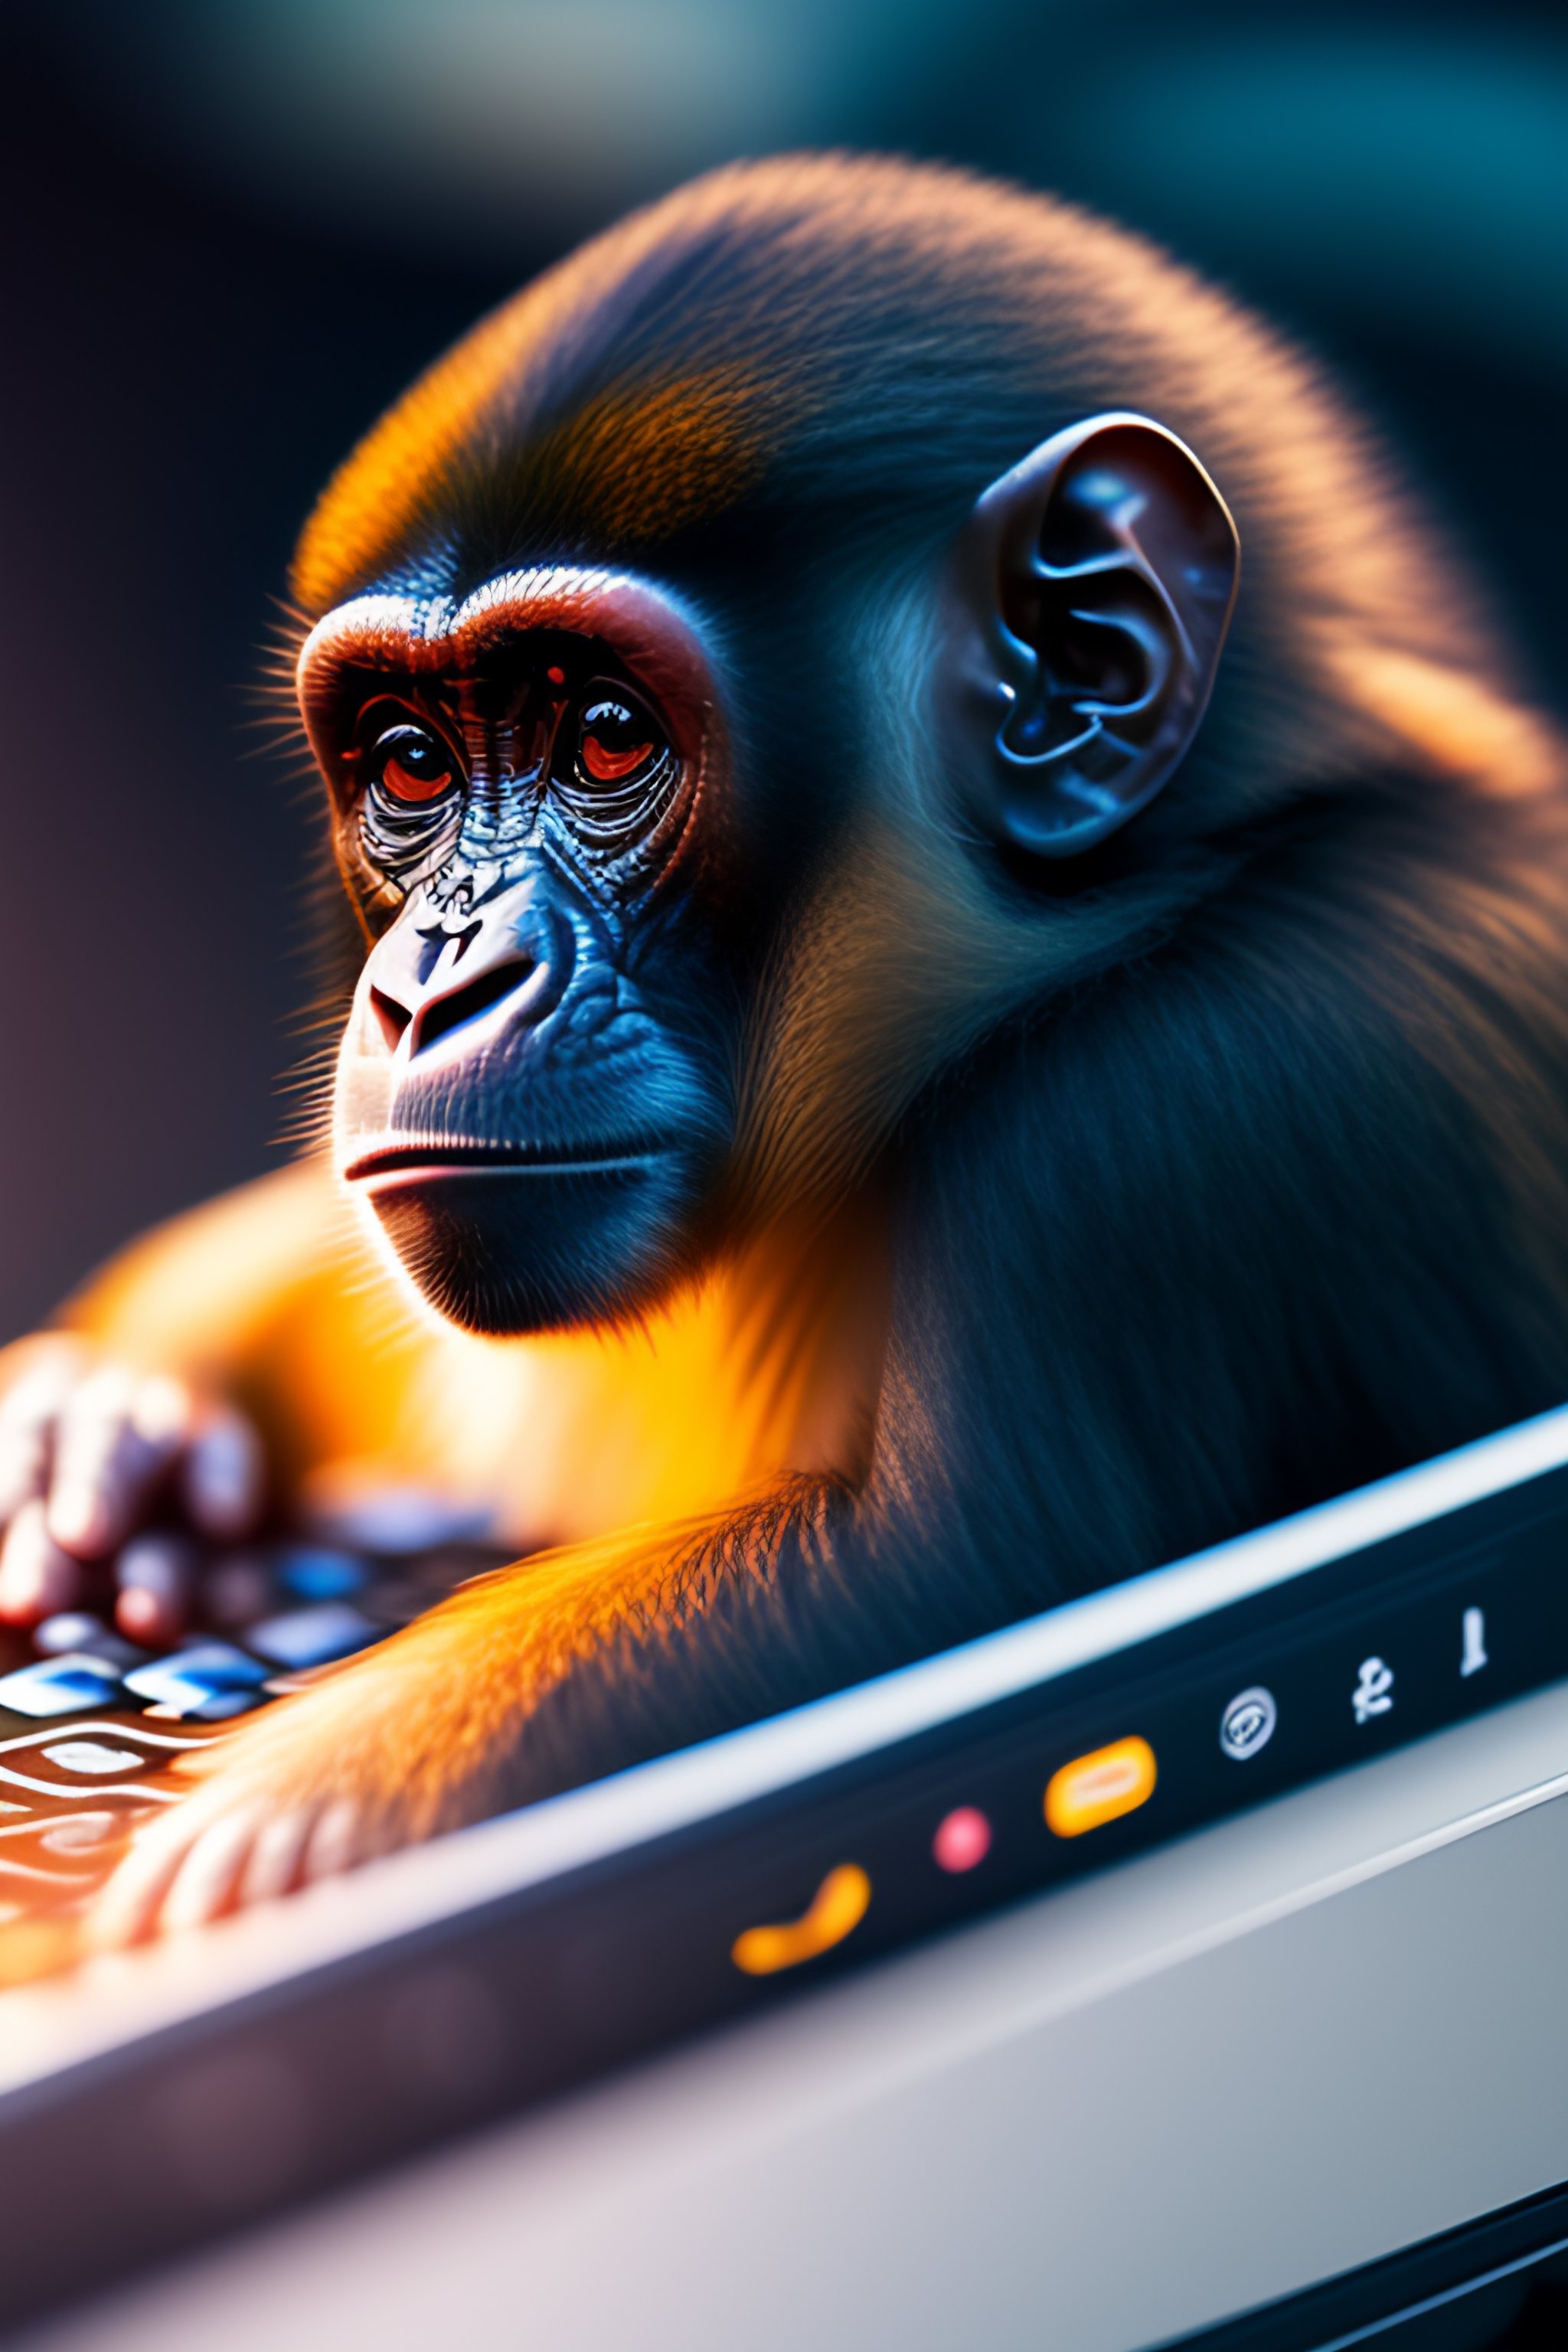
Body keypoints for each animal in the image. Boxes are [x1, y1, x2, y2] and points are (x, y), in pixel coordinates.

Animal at [1, 153, 1566, 1947]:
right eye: (408, 765)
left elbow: (936, 1572)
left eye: (607, 737)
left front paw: (313, 1811)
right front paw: (111, 1427)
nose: (433, 984)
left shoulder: (1181, 1107)